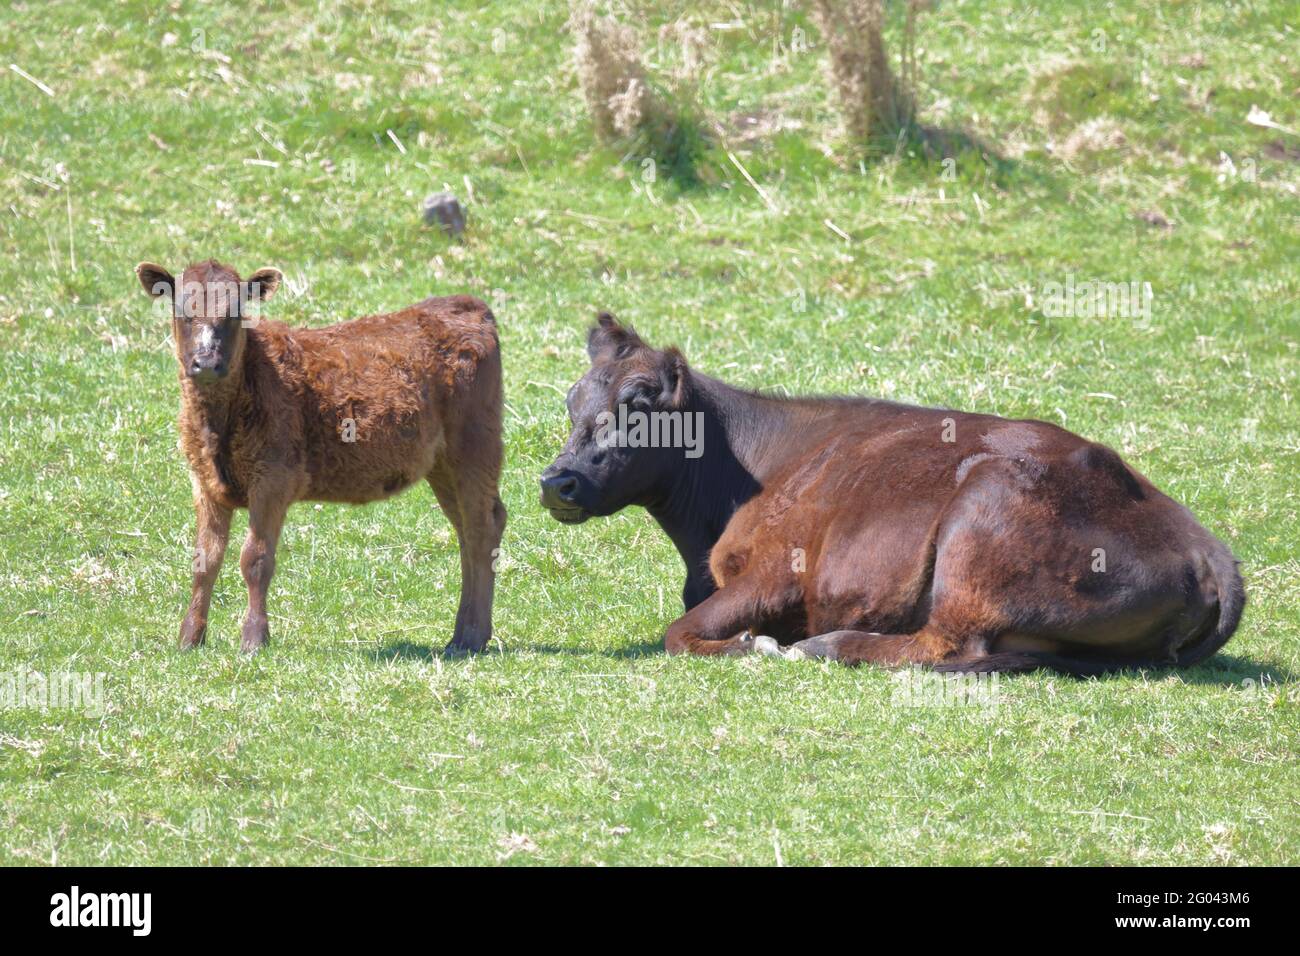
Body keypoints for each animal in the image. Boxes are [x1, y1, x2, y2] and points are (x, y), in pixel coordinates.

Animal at [136, 260, 506, 654]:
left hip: (475, 447)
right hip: (442, 466)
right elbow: (205, 560)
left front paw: (254, 639)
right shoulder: (205, 482)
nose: (206, 363)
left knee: (482, 529)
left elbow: (255, 559)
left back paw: (472, 636)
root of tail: (464, 305)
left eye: (236, 313)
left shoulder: (273, 480)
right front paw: (189, 637)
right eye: (182, 311)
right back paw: (461, 635)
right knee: (467, 529)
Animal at [538, 313, 1244, 674]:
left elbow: (678, 633)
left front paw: (751, 645)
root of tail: (1204, 546)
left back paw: (826, 646)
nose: (557, 481)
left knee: (944, 645)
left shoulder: (776, 574)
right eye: (572, 401)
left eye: (637, 405)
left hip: (978, 524)